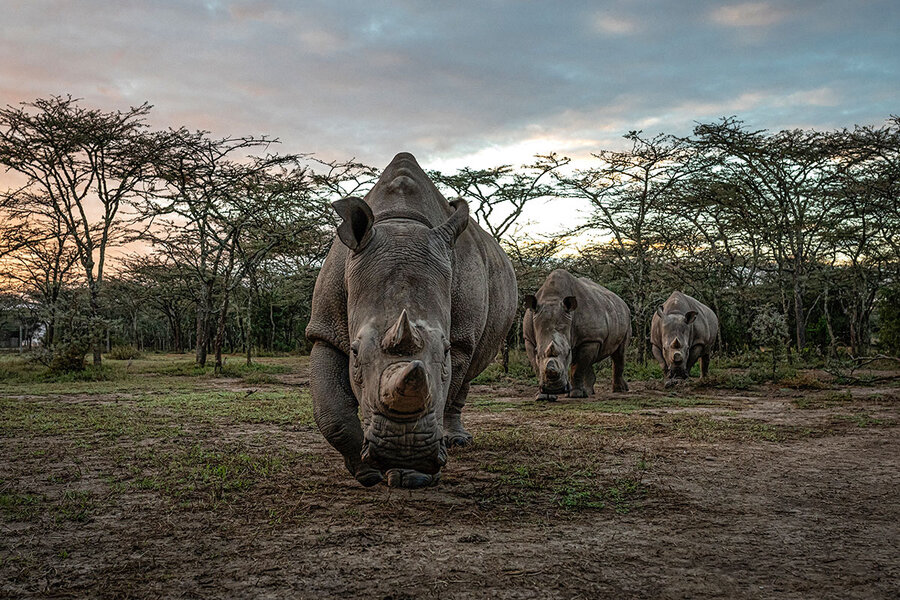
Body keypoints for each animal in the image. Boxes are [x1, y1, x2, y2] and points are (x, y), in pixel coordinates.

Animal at [306, 152, 517, 489]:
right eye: (355, 352)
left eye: (445, 350)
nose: (403, 449)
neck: (401, 222)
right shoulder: (324, 329)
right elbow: (331, 412)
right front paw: (368, 473)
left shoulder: (459, 339)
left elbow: (446, 386)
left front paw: (412, 475)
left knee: (468, 373)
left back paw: (458, 441)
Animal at [523, 269, 632, 401]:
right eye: (537, 352)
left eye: (568, 352)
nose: (554, 388)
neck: (552, 298)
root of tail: (621, 301)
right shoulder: (528, 339)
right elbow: (536, 366)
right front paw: (543, 396)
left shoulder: (590, 339)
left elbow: (578, 368)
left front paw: (576, 395)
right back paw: (589, 392)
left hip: (625, 317)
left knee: (619, 354)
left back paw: (619, 390)